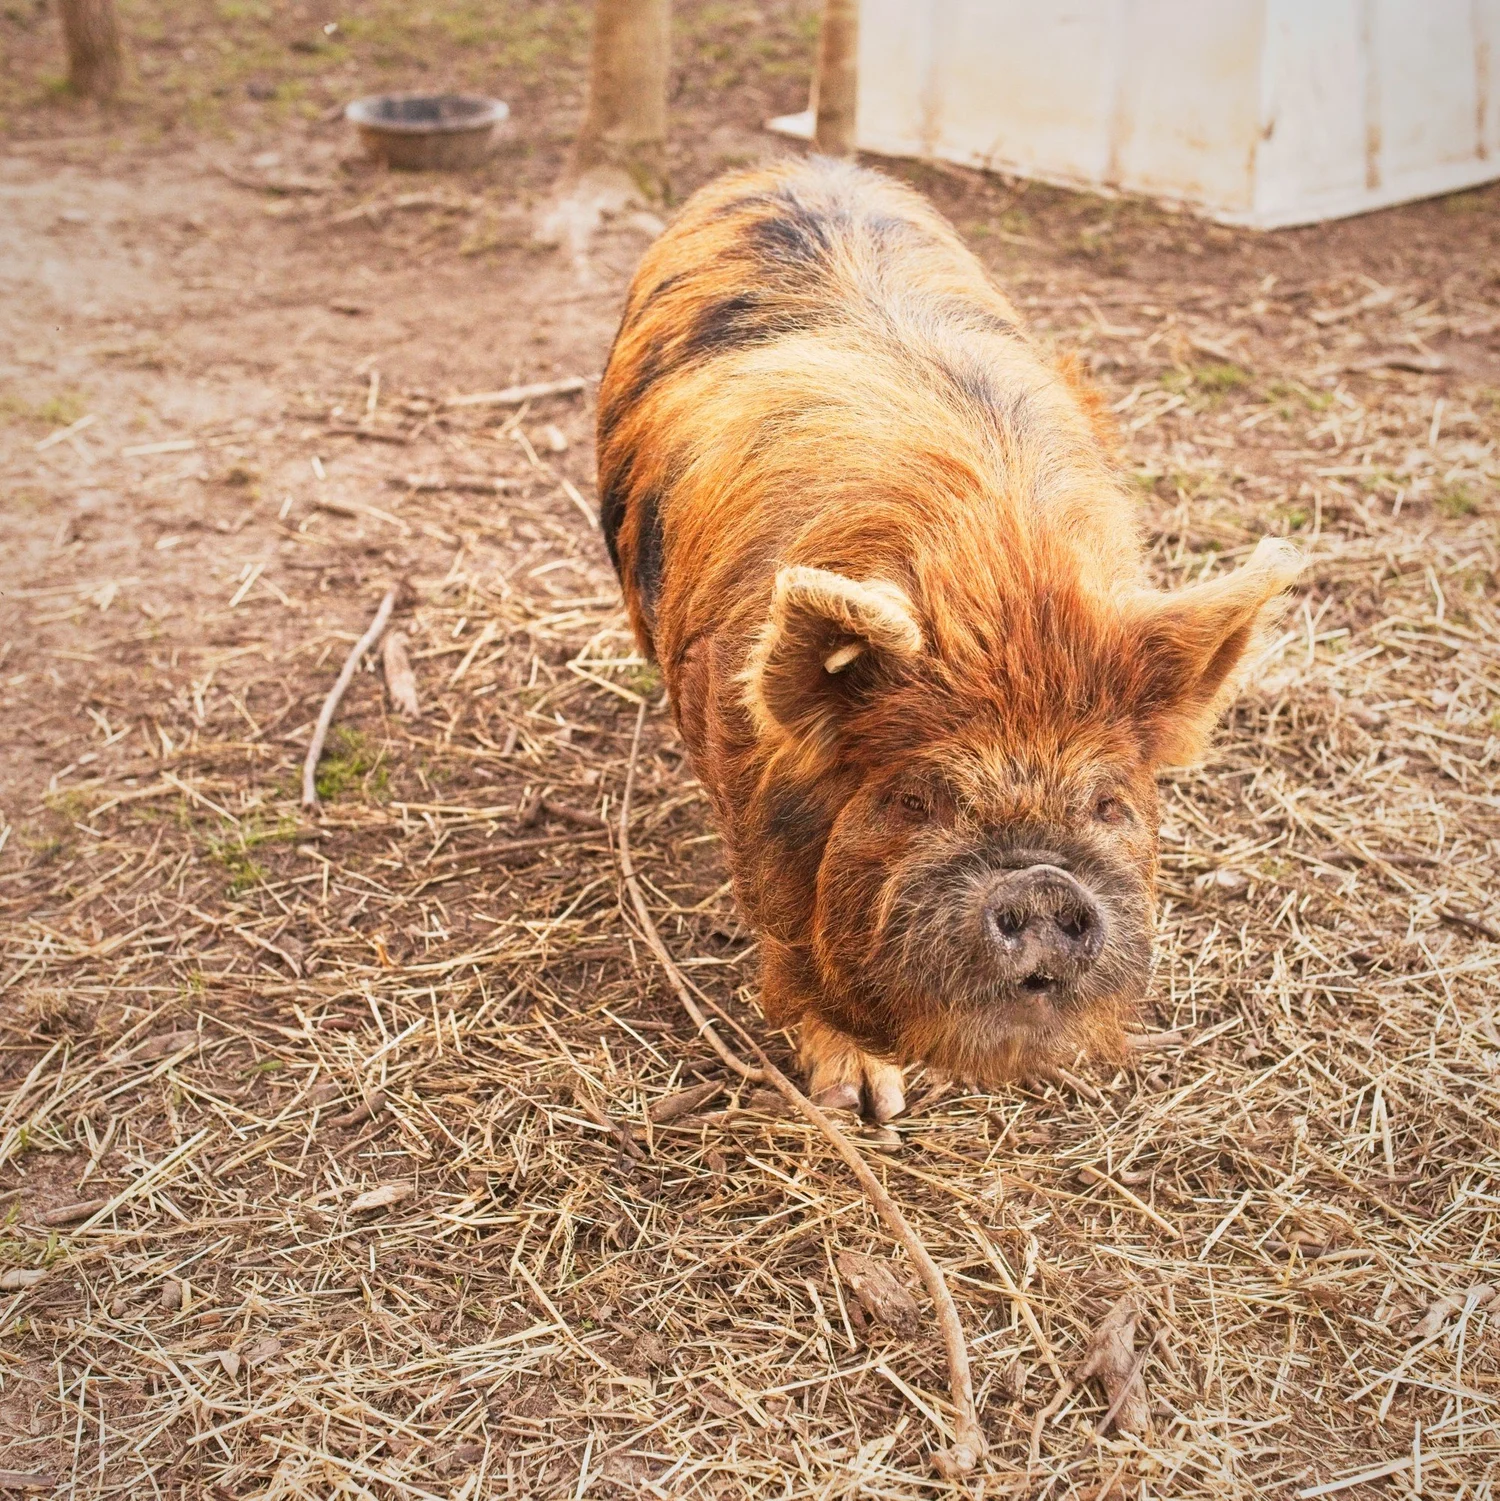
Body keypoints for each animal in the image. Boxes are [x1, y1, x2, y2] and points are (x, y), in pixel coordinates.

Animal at [596, 159, 1299, 1120]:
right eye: (914, 799)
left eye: (1108, 803)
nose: (1042, 881)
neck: (1004, 595)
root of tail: (798, 164)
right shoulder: (746, 773)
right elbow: (782, 928)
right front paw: (866, 1098)